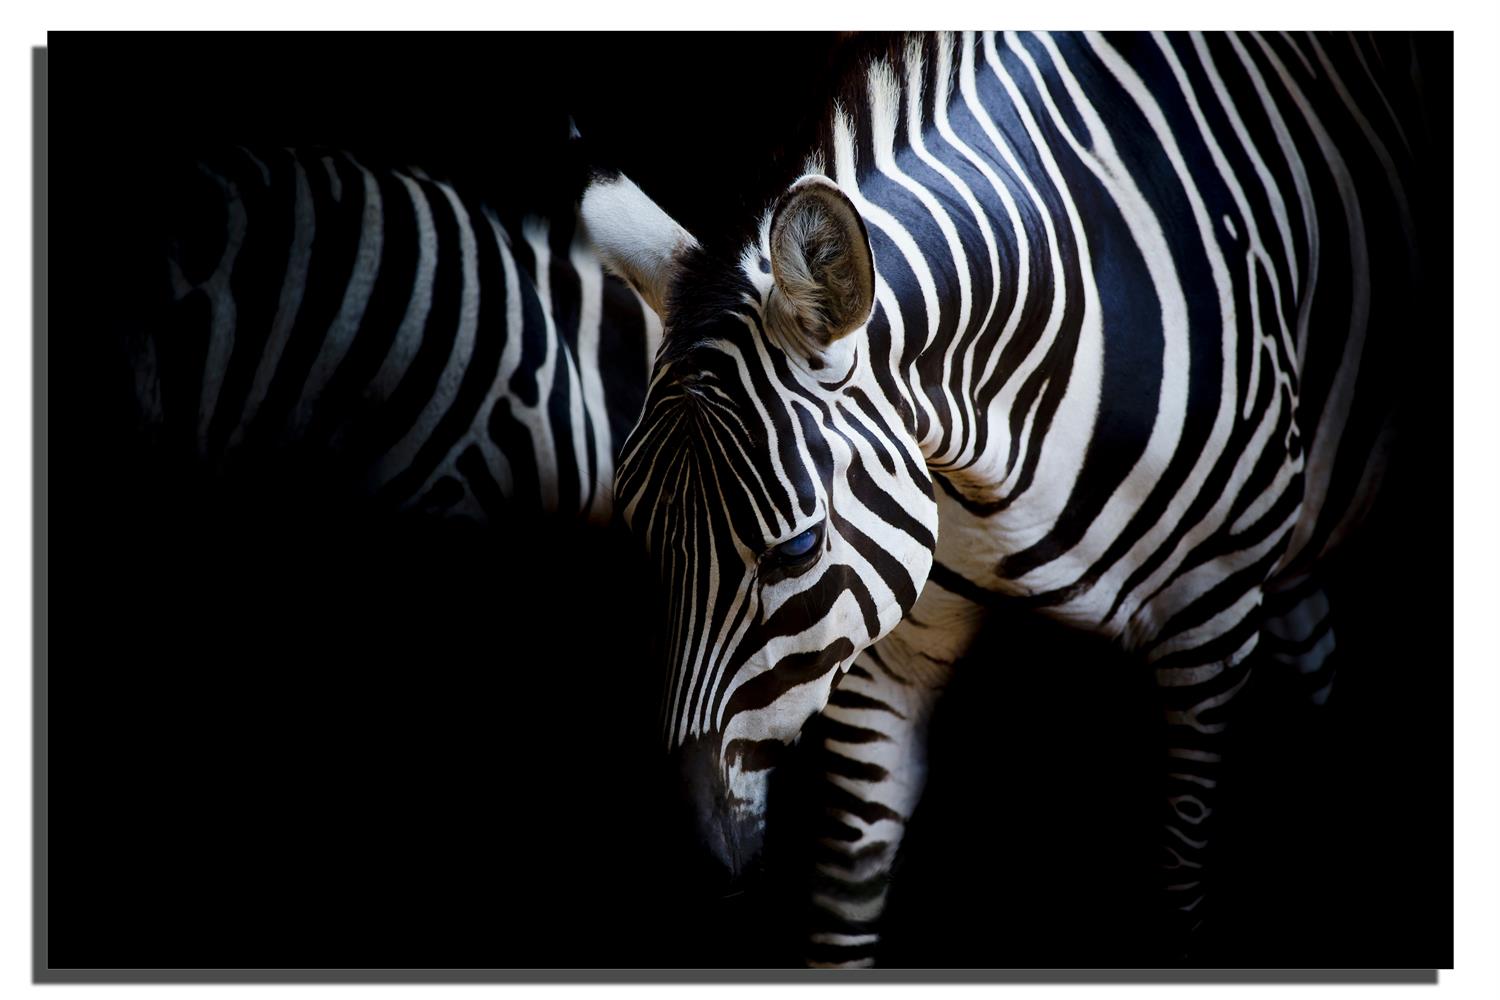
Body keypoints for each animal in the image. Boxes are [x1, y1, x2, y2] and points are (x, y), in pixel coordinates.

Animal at [581, 31, 1428, 966]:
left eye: (797, 549)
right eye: (639, 537)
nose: (683, 872)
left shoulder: (1209, 633)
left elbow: (1174, 891)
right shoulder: (889, 650)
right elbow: (844, 906)